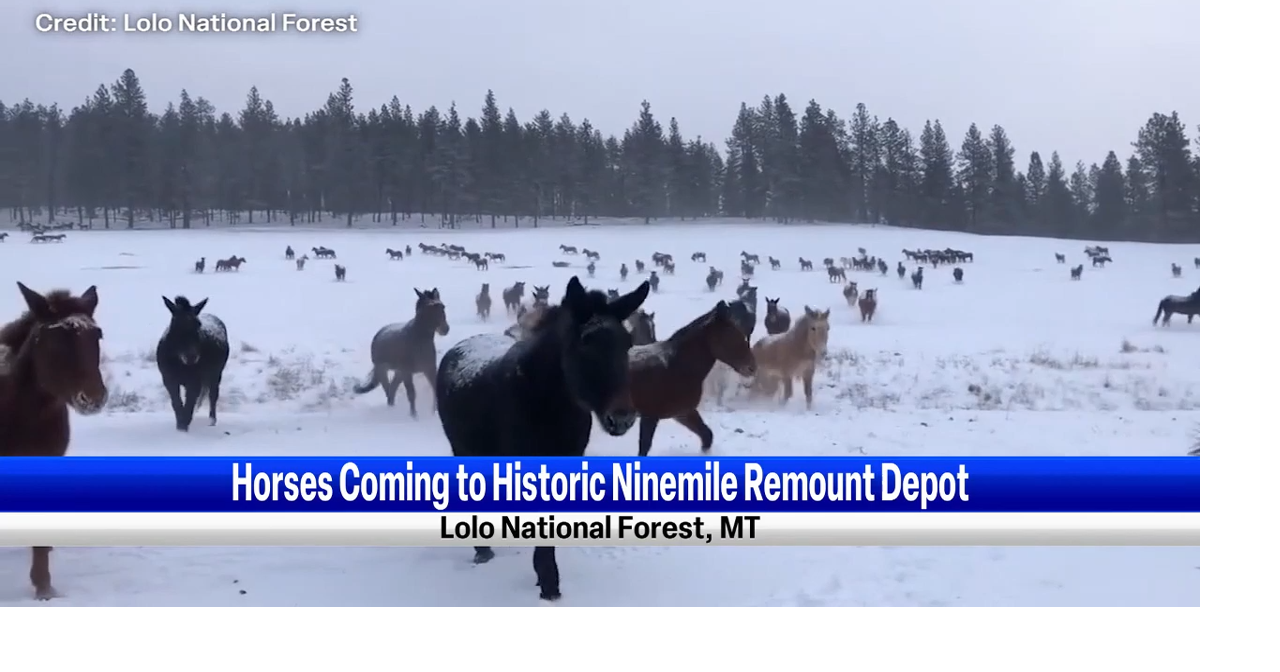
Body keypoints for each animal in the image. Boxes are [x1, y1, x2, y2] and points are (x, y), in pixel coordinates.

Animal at [157, 296, 230, 431]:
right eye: (175, 325)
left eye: (198, 324)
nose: (191, 356)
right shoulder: (169, 380)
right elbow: (177, 402)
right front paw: (180, 425)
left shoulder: (195, 382)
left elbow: (190, 403)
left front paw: (184, 425)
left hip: (215, 375)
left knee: (213, 395)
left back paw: (212, 420)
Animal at [353, 288, 450, 418]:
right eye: (429, 308)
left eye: (442, 306)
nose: (445, 329)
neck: (418, 340)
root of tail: (379, 332)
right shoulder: (407, 371)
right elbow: (411, 394)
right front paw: (414, 416)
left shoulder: (429, 369)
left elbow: (435, 389)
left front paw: (433, 413)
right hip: (382, 369)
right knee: (389, 390)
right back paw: (391, 410)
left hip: (398, 372)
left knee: (392, 388)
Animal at [435, 277, 650, 602]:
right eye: (586, 342)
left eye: (627, 344)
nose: (622, 418)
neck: (547, 402)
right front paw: (549, 584)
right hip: (462, 450)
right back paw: (483, 551)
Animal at [630, 301, 757, 457]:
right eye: (730, 336)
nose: (752, 367)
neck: (674, 367)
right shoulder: (649, 416)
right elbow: (644, 448)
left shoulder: (684, 412)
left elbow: (707, 435)